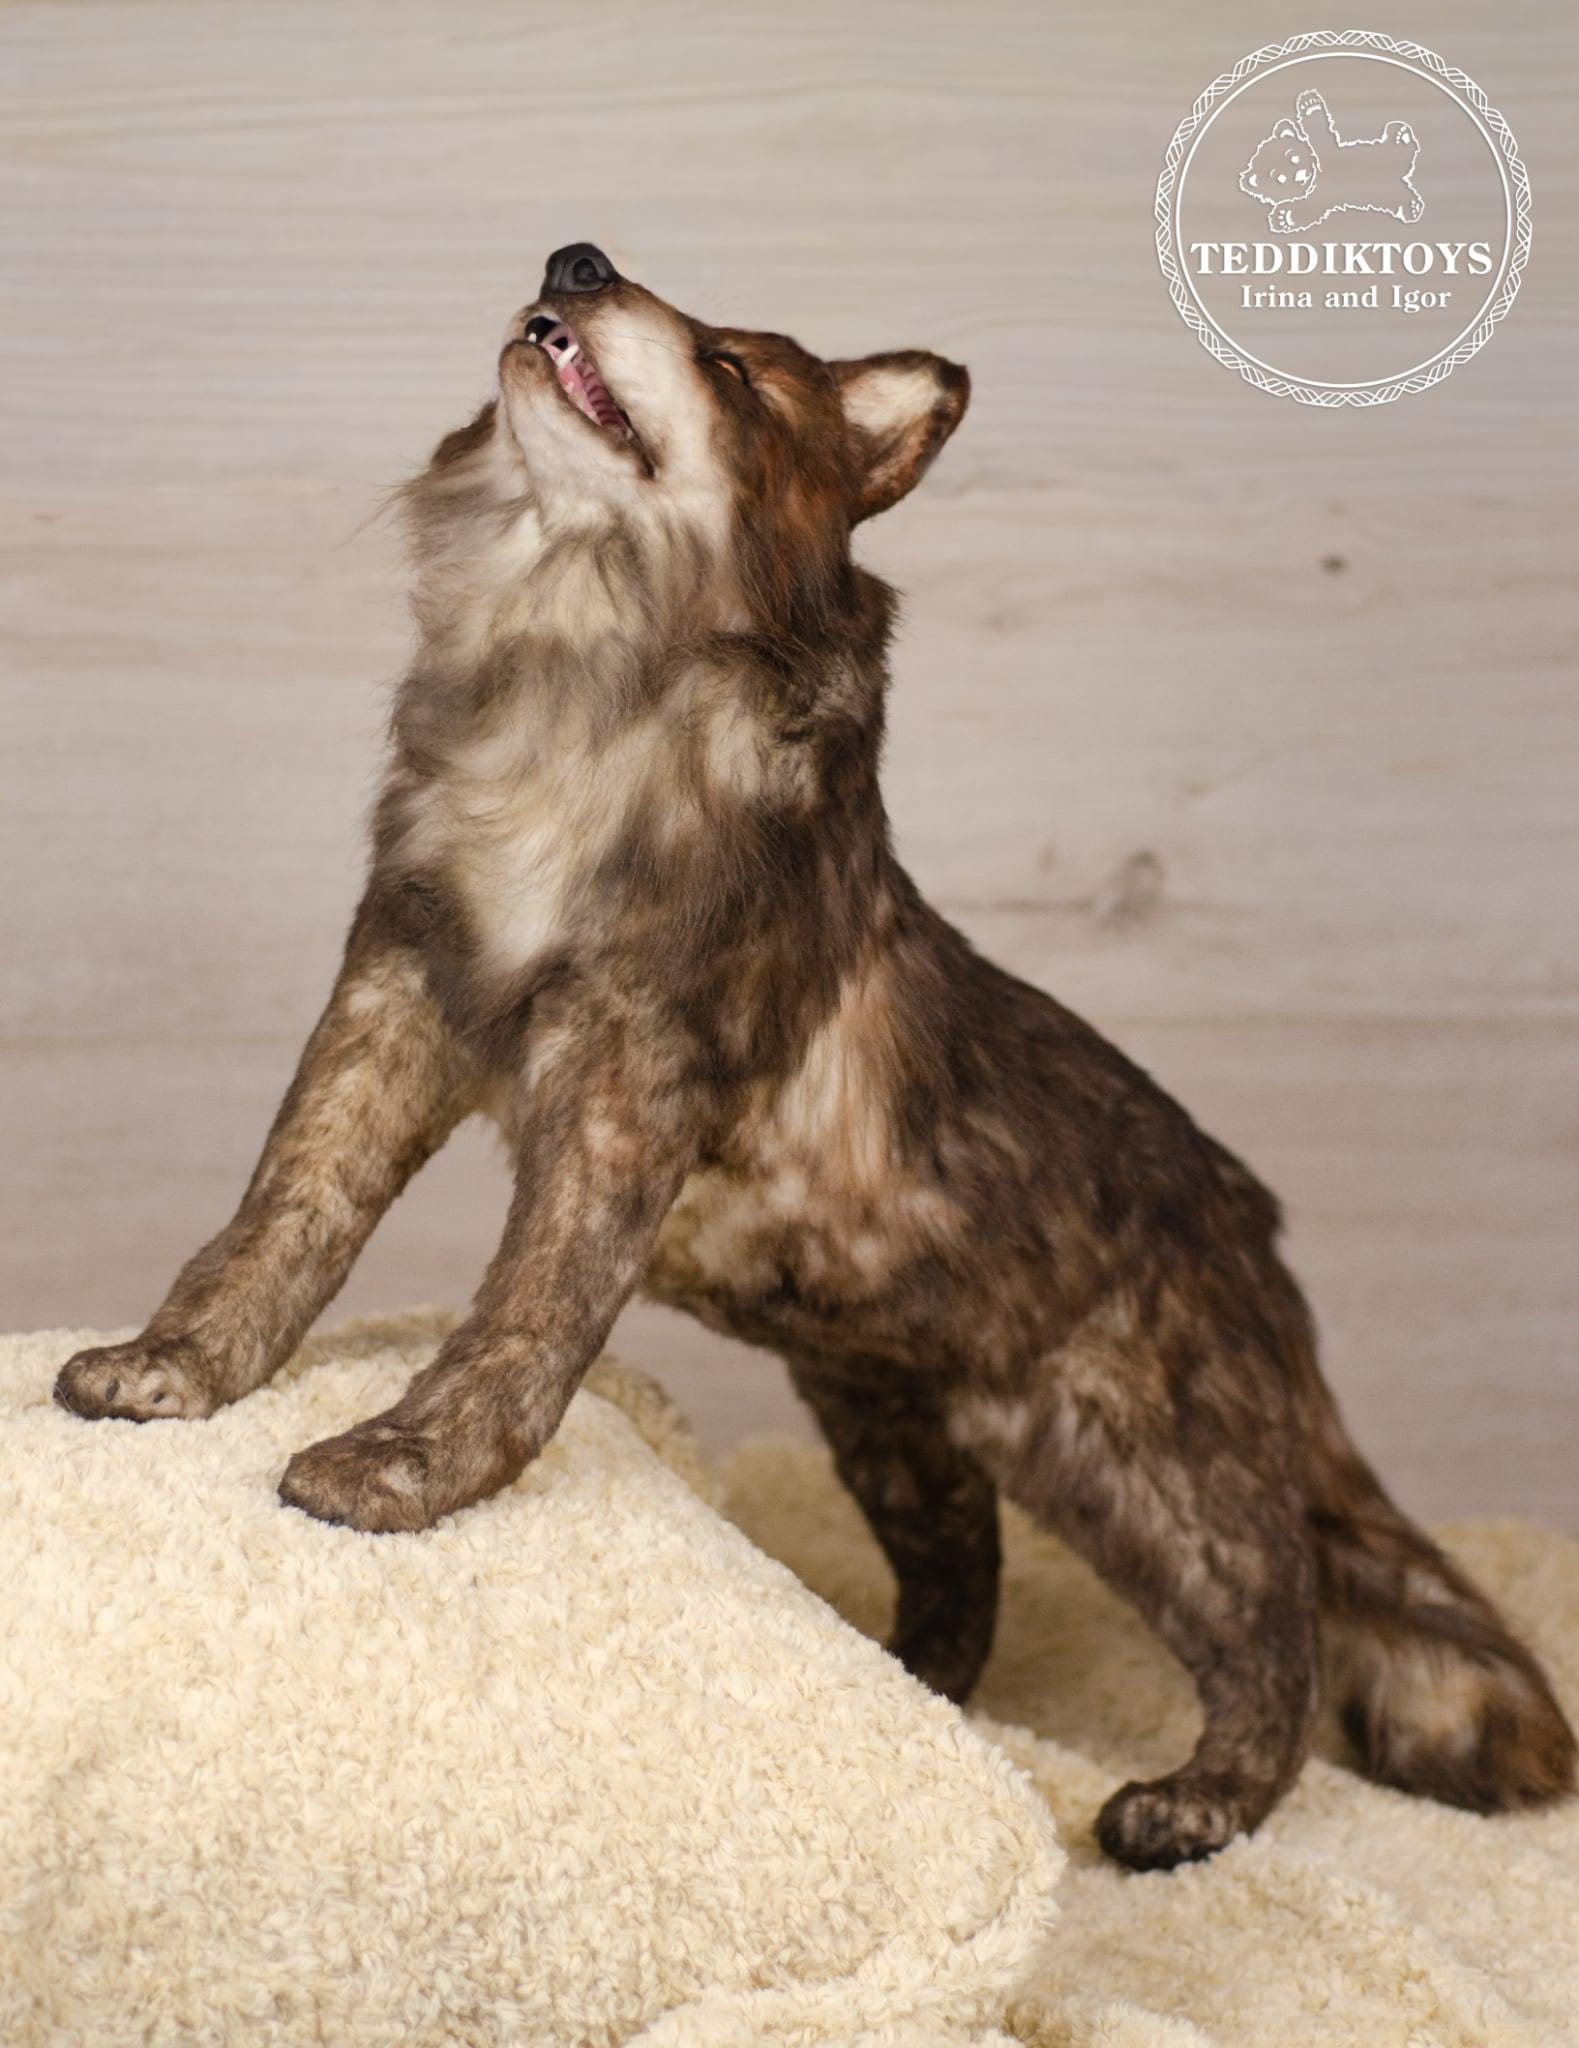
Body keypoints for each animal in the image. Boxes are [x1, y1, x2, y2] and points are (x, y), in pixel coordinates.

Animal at [56, 243, 1574, 1868]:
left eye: (729, 368)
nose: (573, 261)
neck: (586, 685)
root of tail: (1254, 1233)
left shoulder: (629, 1069)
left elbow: (516, 1322)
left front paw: (394, 1473)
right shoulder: (397, 984)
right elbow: (281, 1217)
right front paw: (164, 1371)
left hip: (1147, 1463)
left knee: (1275, 1626)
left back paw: (1191, 1804)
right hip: (900, 1428)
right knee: (967, 1586)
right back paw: (904, 1695)